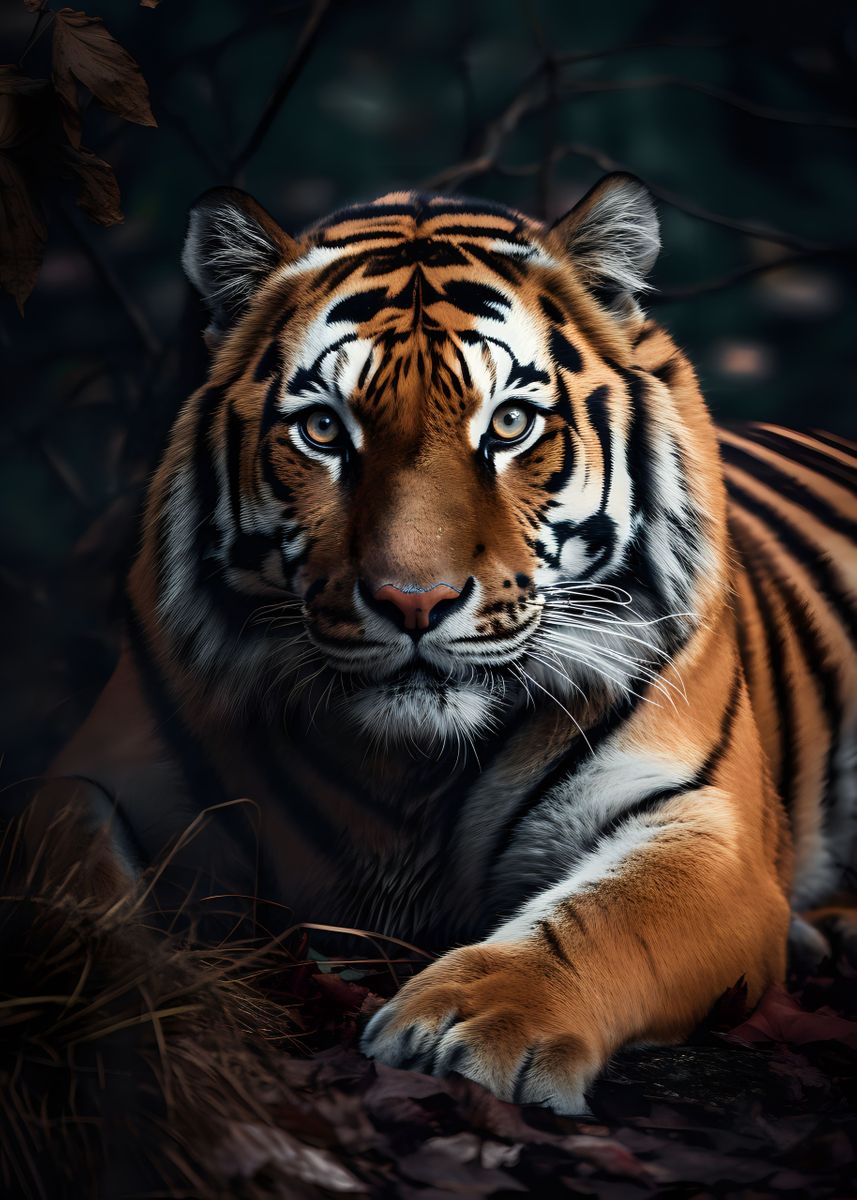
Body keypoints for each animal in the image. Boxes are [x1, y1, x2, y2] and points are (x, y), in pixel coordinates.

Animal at [51, 173, 857, 1114]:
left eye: (508, 425)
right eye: (323, 431)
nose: (415, 601)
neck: (406, 767)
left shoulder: (701, 825)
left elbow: (607, 919)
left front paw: (461, 1026)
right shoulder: (97, 776)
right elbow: (69, 885)